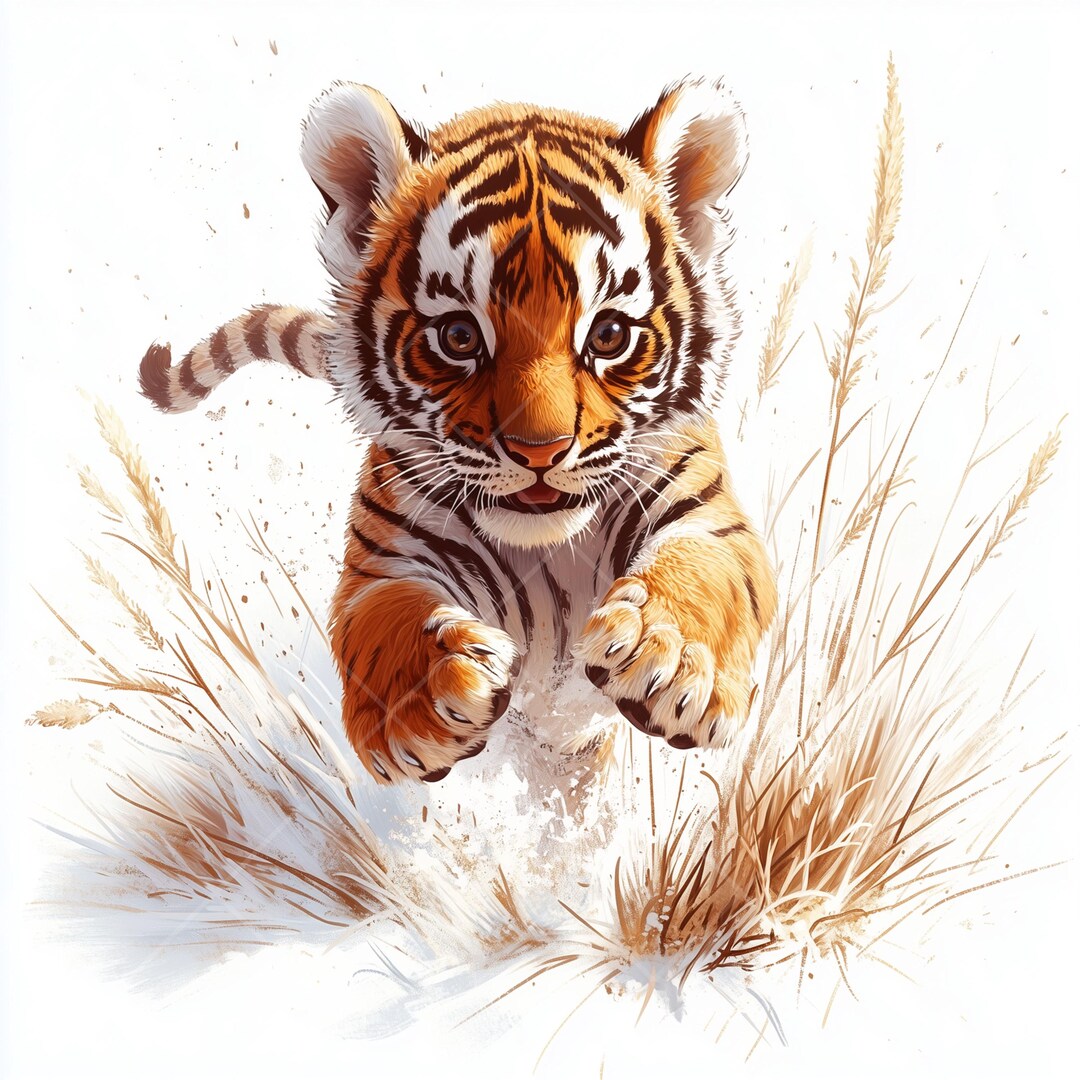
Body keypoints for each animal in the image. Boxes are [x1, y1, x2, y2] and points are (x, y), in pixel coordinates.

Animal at [138, 79, 778, 787]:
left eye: (609, 335)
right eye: (459, 337)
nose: (539, 452)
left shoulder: (706, 514)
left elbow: (707, 572)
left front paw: (669, 657)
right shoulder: (382, 563)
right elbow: (382, 623)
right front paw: (435, 693)